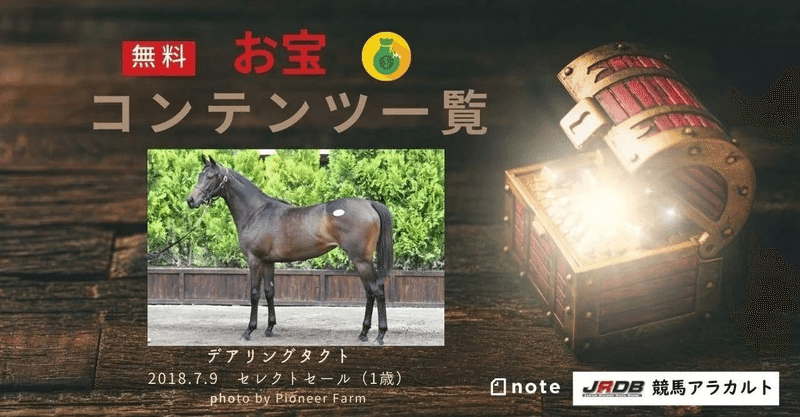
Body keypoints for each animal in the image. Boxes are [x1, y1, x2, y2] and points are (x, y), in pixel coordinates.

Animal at [185, 155, 393, 345]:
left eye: (210, 176)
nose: (191, 200)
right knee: (369, 292)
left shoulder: (255, 260)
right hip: (360, 261)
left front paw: (249, 331)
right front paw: (269, 328)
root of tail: (368, 203)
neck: (256, 212)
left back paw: (380, 336)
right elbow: (269, 292)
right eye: (200, 175)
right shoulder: (268, 261)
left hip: (361, 260)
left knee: (378, 290)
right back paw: (363, 333)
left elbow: (254, 293)